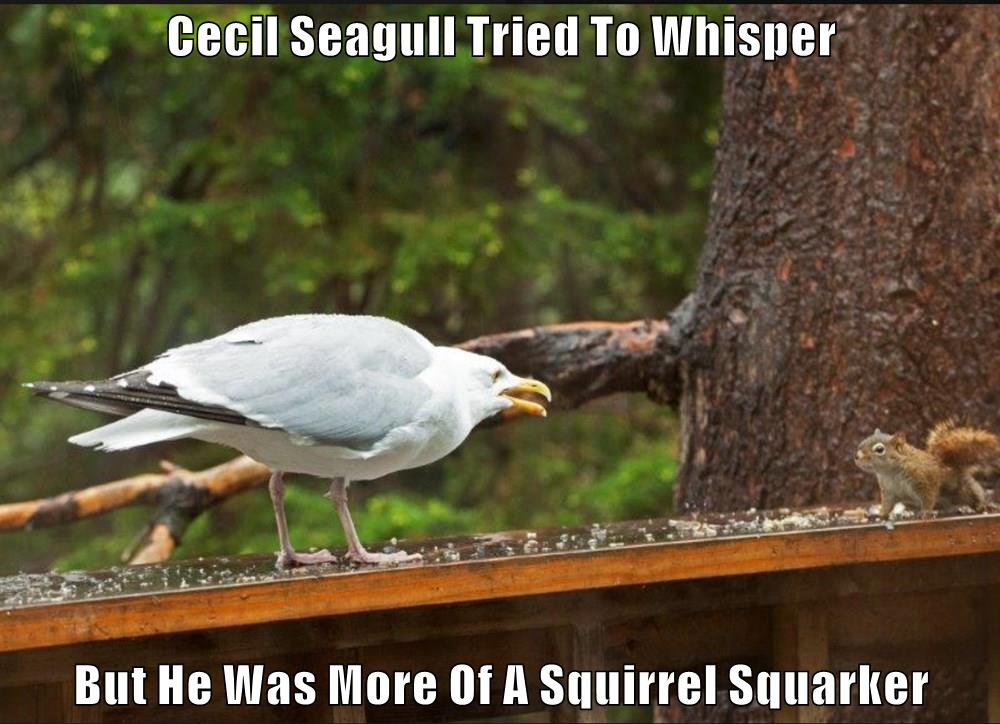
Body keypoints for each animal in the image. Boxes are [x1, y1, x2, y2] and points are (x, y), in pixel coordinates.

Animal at [854, 420, 999, 517]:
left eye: (879, 449)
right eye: (865, 439)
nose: (856, 457)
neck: (890, 472)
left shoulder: (924, 479)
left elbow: (928, 496)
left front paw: (925, 512)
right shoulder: (888, 491)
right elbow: (887, 505)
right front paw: (880, 514)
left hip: (964, 488)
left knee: (975, 495)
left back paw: (983, 506)